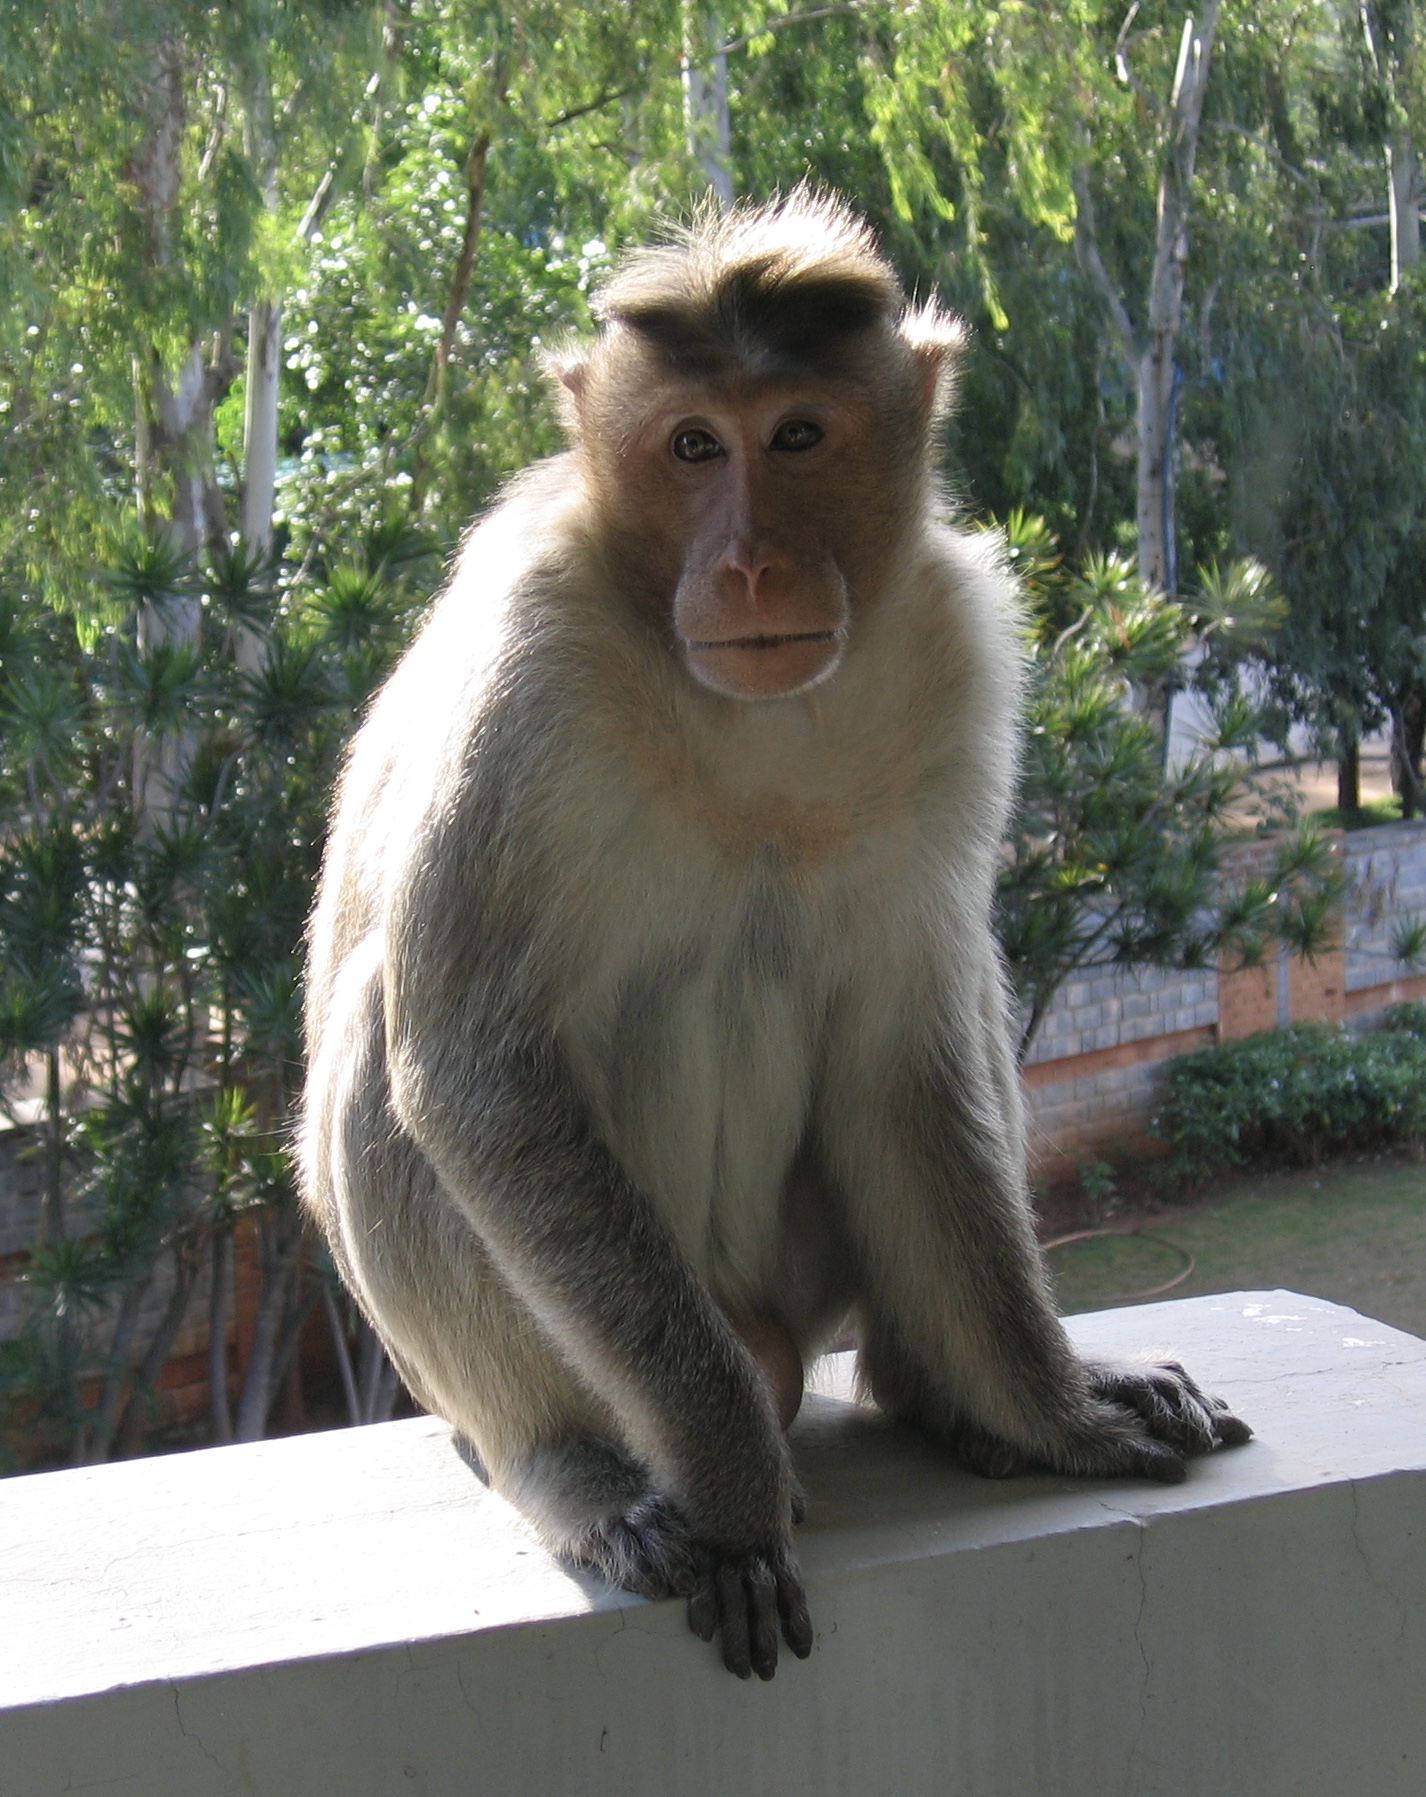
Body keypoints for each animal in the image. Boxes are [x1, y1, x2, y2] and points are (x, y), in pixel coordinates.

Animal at [299, 192, 1250, 1683]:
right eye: (693, 446)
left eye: (796, 435)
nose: (746, 564)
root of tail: (761, 1343)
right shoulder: (528, 669)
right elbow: (473, 1076)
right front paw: (736, 1494)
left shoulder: (958, 645)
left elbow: (909, 1038)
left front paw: (1045, 1410)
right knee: (384, 1035)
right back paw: (580, 1468)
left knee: (949, 983)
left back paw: (936, 1394)